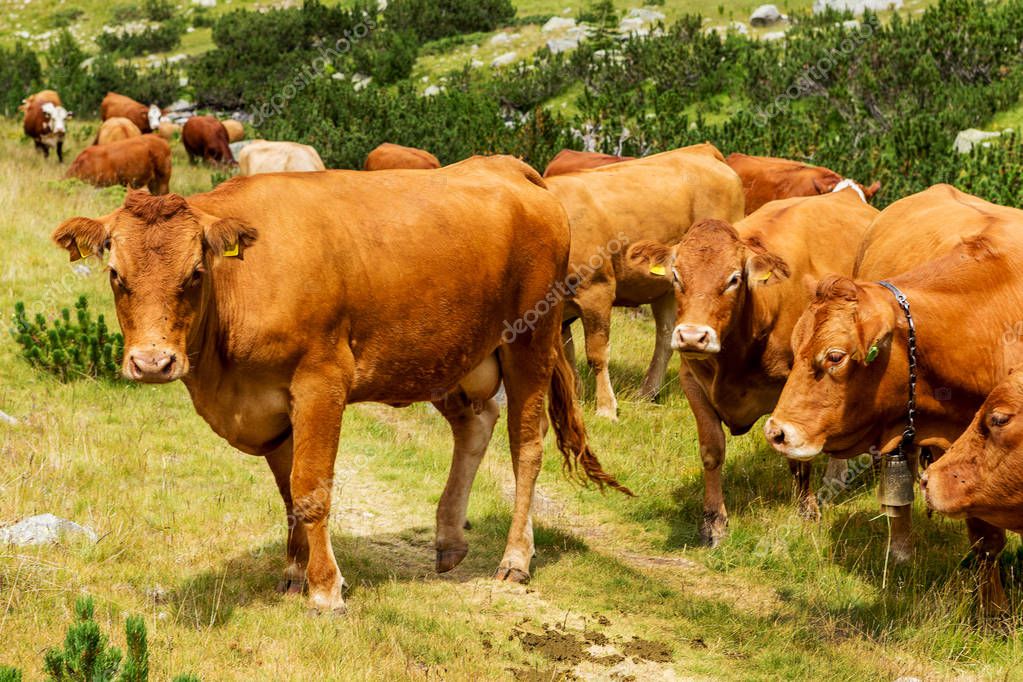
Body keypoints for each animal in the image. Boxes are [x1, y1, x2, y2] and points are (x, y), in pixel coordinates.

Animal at [50, 157, 629, 613]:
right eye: (116, 275)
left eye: (194, 272)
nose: (152, 362)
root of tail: (509, 167)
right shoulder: (270, 405)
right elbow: (286, 490)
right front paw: (293, 572)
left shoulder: (320, 381)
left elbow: (311, 489)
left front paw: (325, 588)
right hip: (445, 353)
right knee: (475, 424)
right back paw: (448, 538)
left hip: (532, 336)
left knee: (526, 444)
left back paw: (515, 558)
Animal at [546, 144, 745, 419]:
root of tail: (703, 150)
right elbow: (566, 355)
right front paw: (574, 398)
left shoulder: (597, 291)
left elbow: (597, 354)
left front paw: (606, 408)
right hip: (667, 289)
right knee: (666, 337)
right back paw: (648, 393)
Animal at [625, 189, 878, 544]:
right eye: (676, 275)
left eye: (733, 279)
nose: (693, 336)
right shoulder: (693, 382)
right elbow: (712, 450)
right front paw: (714, 521)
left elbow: (798, 456)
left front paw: (807, 511)